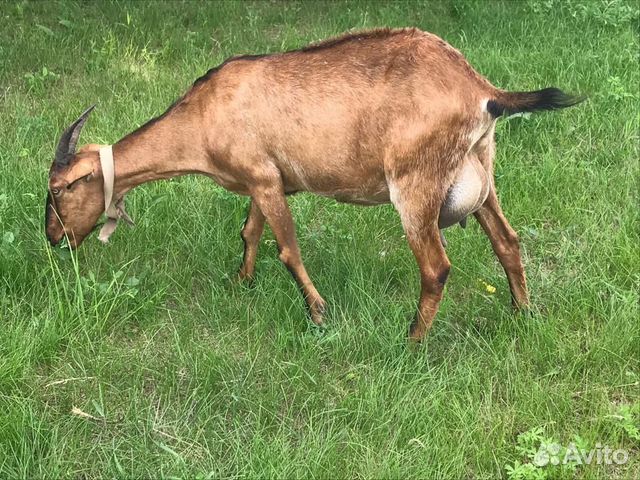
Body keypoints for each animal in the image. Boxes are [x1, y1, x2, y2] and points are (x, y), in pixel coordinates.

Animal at [45, 28, 584, 340]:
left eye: (58, 190)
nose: (54, 239)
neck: (201, 116)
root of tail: (482, 89)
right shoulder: (263, 181)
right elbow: (250, 233)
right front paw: (242, 282)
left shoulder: (264, 180)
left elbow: (287, 249)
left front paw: (320, 314)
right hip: (480, 173)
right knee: (507, 240)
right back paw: (522, 314)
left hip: (415, 184)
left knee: (436, 268)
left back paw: (411, 340)